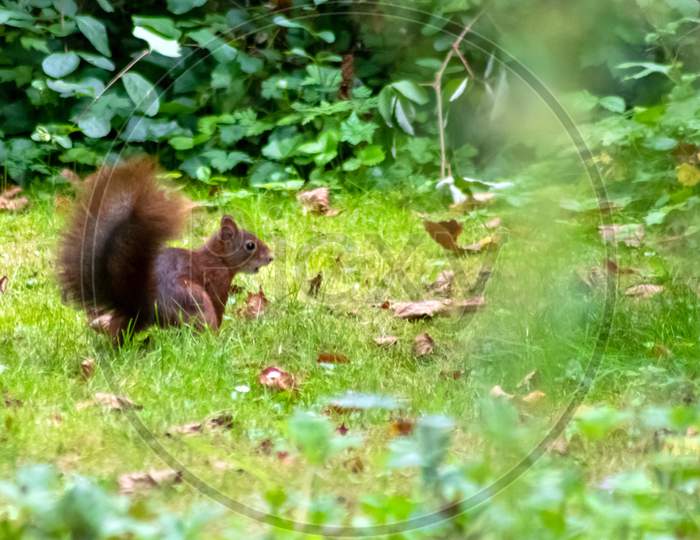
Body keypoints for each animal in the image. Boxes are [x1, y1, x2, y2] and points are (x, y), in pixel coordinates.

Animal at [58, 157, 273, 339]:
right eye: (250, 246)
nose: (271, 257)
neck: (218, 259)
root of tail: (140, 307)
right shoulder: (217, 281)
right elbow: (219, 307)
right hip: (193, 300)